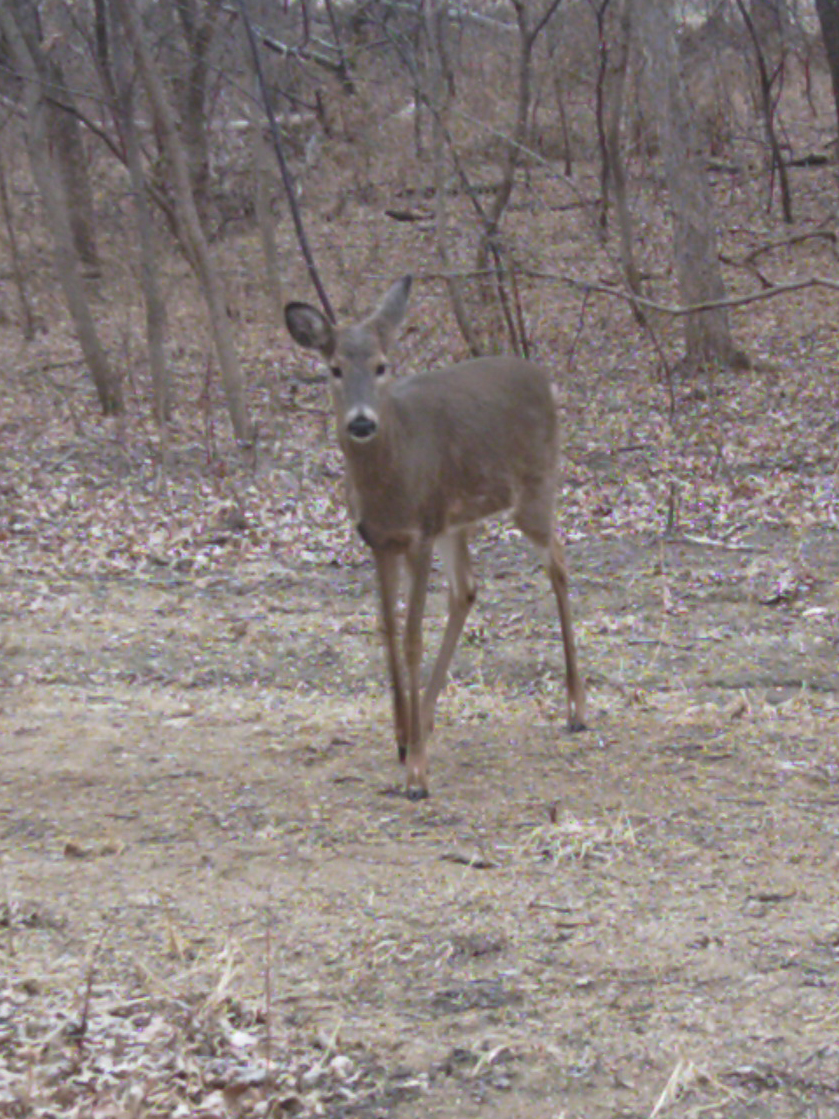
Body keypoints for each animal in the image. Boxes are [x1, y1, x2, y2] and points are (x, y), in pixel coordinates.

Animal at [284, 275, 586, 798]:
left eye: (382, 365)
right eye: (334, 369)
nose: (361, 421)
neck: (391, 477)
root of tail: (542, 377)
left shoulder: (419, 533)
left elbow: (411, 638)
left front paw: (417, 775)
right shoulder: (380, 541)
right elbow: (386, 632)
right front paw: (403, 739)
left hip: (535, 489)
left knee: (559, 563)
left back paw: (576, 709)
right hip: (458, 520)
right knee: (466, 588)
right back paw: (423, 721)